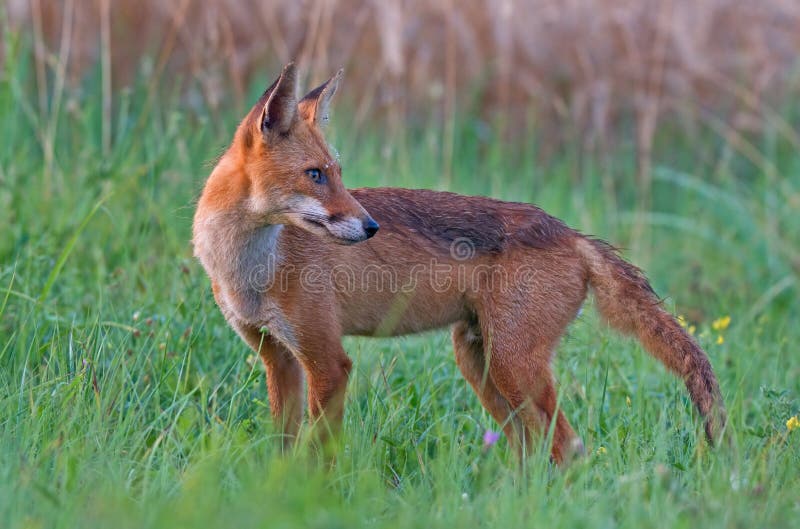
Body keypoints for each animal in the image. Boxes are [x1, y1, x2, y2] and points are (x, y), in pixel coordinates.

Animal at [192, 63, 725, 463]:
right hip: (480, 364)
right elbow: (282, 446)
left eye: (338, 174)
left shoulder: (328, 360)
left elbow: (317, 452)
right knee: (532, 449)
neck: (247, 268)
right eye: (315, 175)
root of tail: (572, 233)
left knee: (567, 447)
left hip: (512, 366)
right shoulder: (277, 356)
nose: (371, 227)